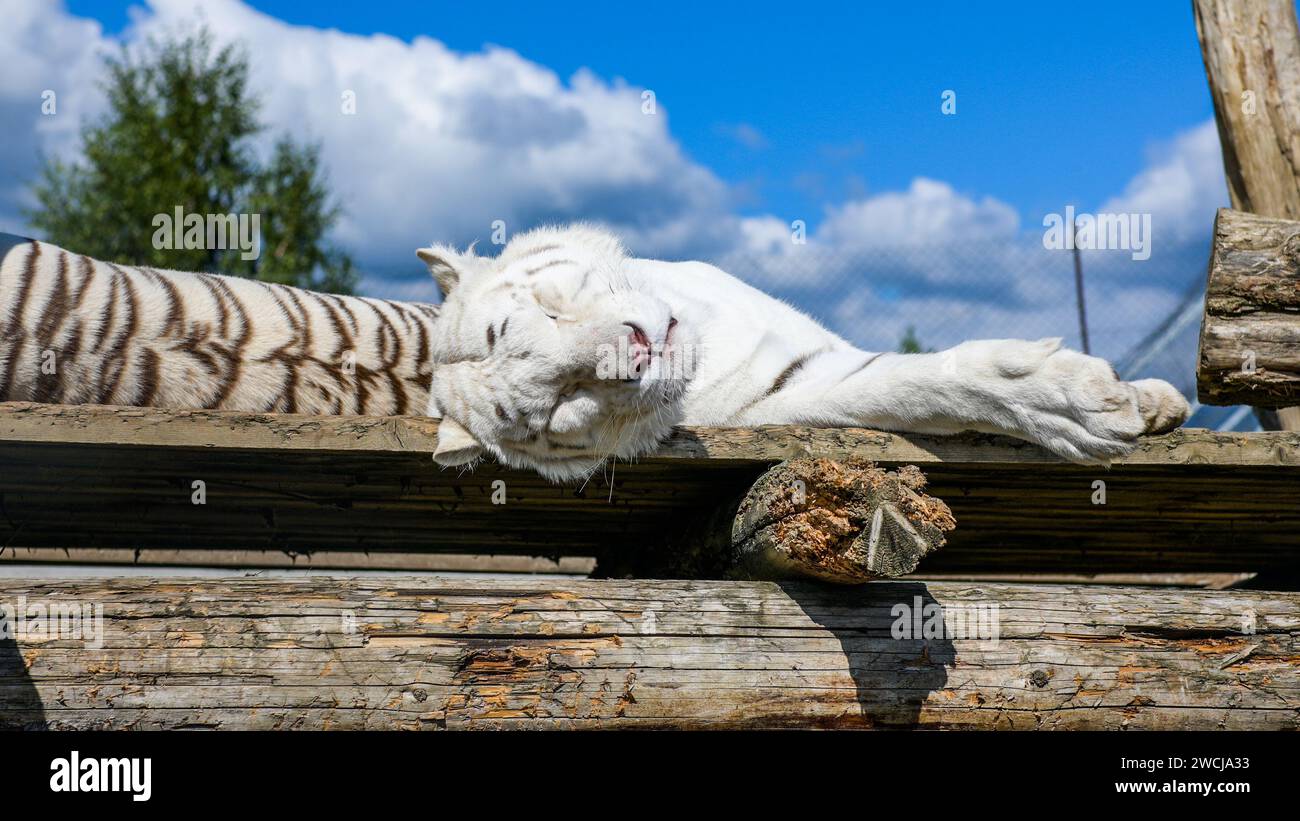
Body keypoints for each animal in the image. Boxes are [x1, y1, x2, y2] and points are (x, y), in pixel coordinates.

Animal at [417, 224, 1190, 481]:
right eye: (562, 402)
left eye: (552, 308)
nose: (633, 352)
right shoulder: (785, 397)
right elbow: (901, 385)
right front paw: (1090, 409)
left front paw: (1136, 400)